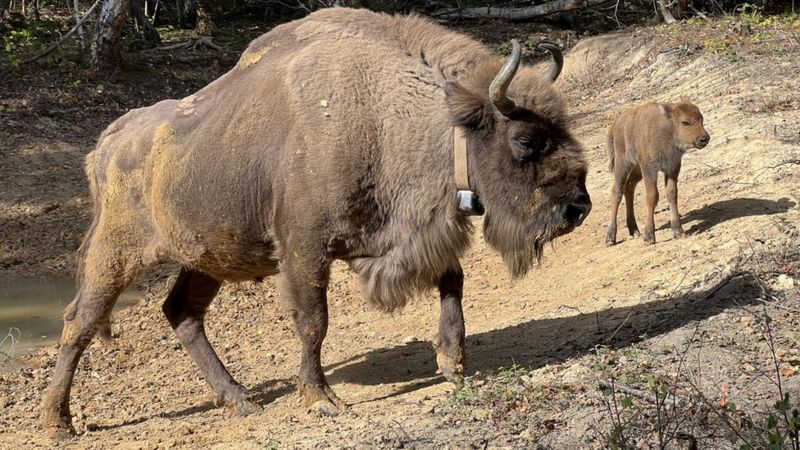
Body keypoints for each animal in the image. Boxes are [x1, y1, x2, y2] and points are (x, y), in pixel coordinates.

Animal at [42, 8, 591, 438]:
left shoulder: (406, 238)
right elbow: (314, 321)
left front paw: (453, 365)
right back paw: (59, 423)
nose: (578, 209)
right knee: (79, 321)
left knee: (181, 313)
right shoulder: (305, 249)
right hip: (116, 254)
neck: (385, 112)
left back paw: (241, 400)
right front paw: (322, 399)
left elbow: (452, 280)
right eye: (526, 141)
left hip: (204, 257)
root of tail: (107, 142)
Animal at [605, 101, 710, 246]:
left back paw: (634, 230)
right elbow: (652, 196)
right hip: (623, 165)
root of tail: (615, 125)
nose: (704, 139)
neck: (669, 129)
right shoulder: (649, 169)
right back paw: (611, 237)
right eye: (685, 122)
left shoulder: (672, 168)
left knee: (629, 188)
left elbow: (672, 194)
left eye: (701, 120)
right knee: (617, 192)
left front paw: (678, 231)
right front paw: (649, 236)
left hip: (637, 170)